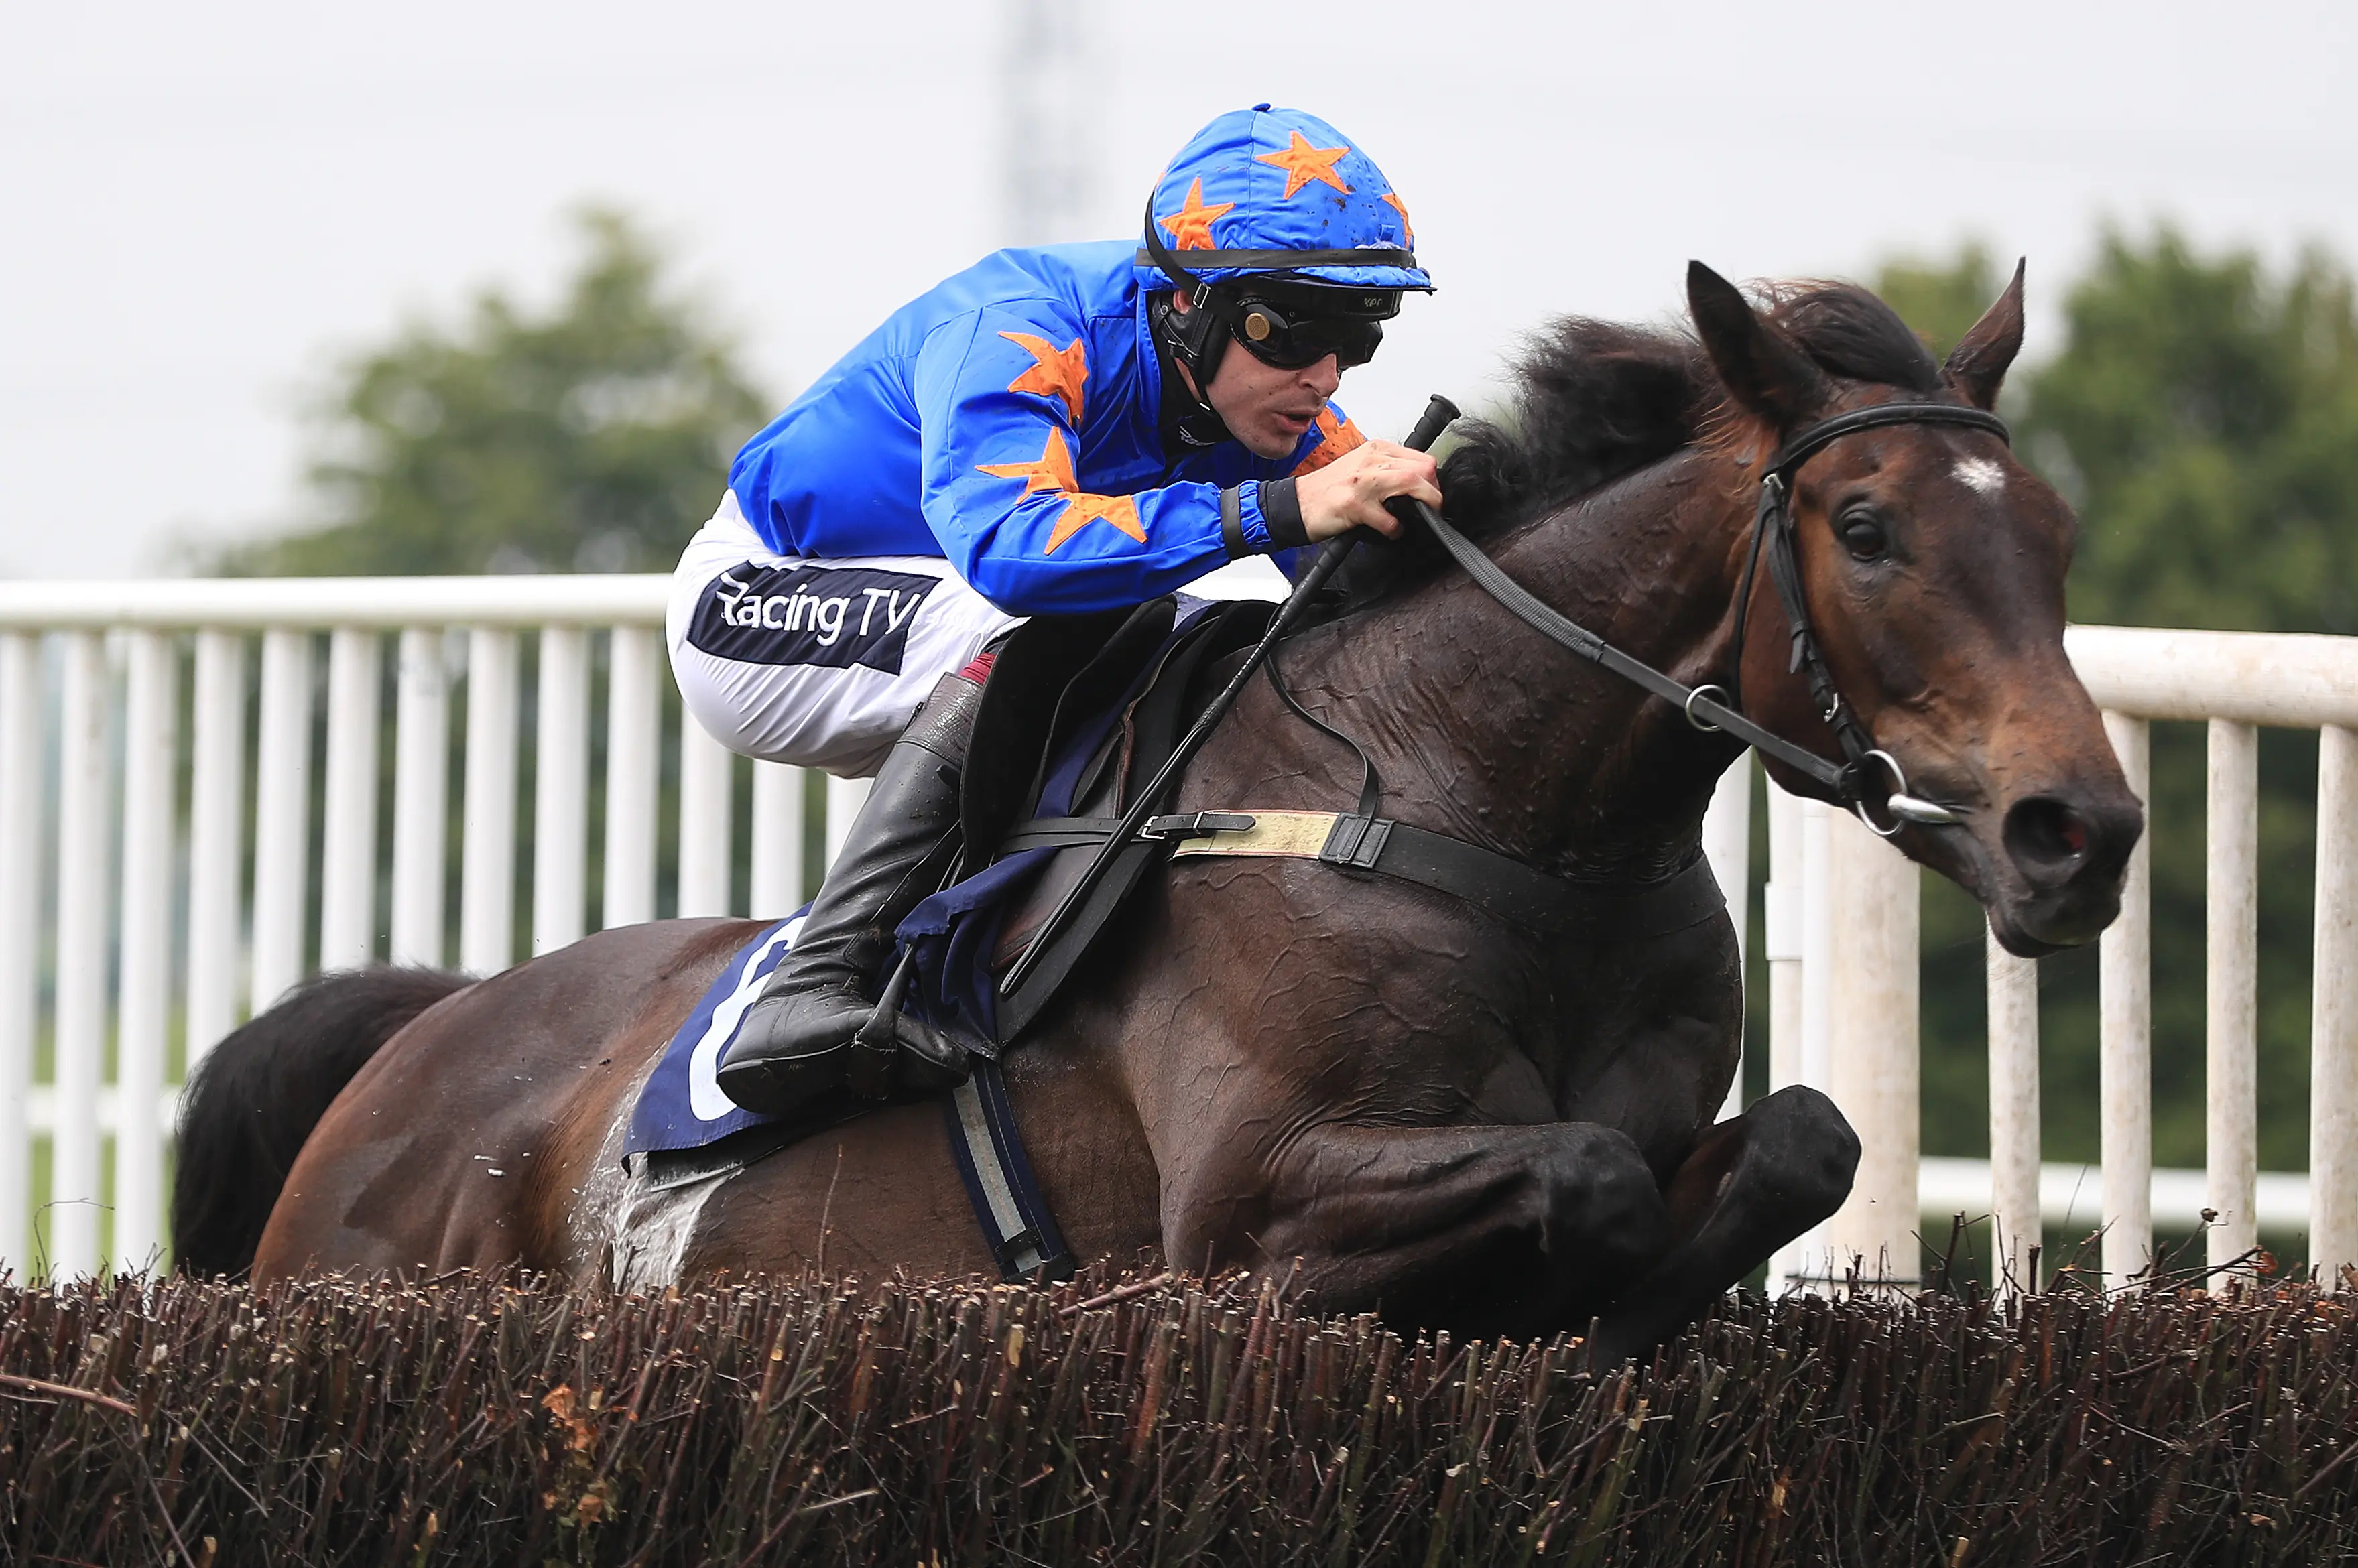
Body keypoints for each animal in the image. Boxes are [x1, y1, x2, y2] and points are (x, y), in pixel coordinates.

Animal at [173, 263, 2140, 1361]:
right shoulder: (1244, 1213)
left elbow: (1796, 1138)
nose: (2077, 830)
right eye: (1865, 527)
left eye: (2051, 531)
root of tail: (420, 1039)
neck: (1485, 804)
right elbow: (1577, 1178)